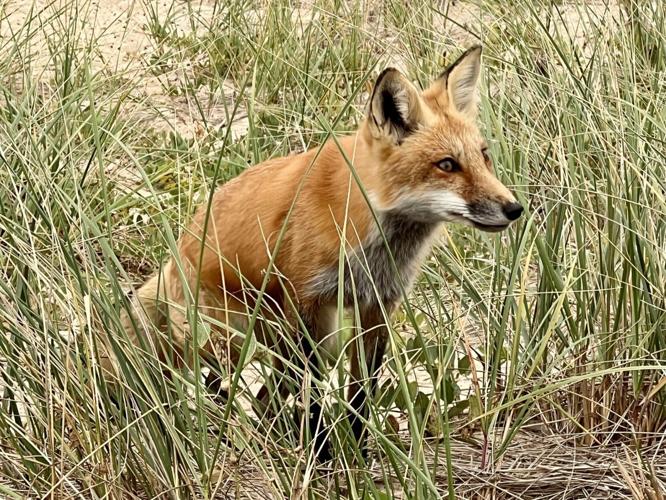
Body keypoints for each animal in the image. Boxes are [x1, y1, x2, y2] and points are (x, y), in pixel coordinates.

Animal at [109, 45, 523, 460]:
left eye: (484, 156)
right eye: (447, 165)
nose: (514, 209)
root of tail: (177, 256)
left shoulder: (377, 306)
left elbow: (362, 392)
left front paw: (356, 454)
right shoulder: (305, 303)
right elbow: (313, 395)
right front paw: (321, 453)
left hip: (312, 338)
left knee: (262, 395)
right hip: (233, 335)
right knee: (213, 383)